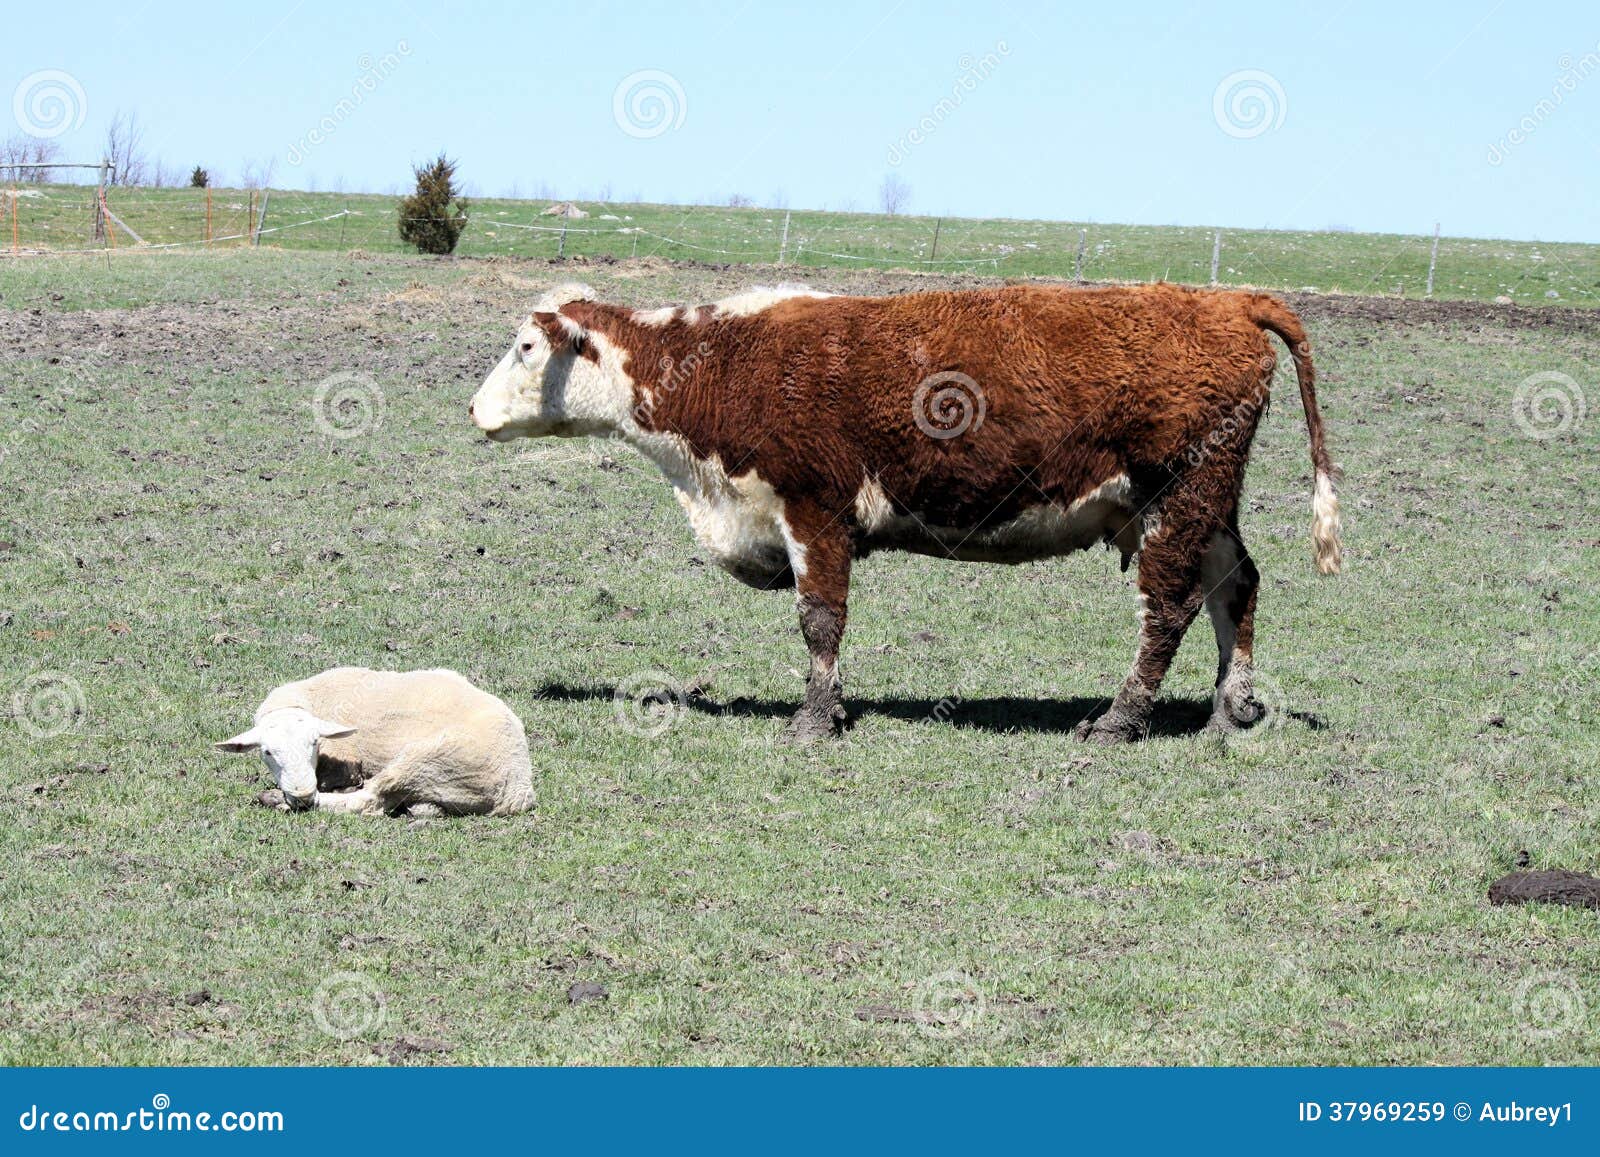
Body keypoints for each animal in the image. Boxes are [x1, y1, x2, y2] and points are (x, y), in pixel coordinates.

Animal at [469, 281, 1341, 744]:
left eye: (524, 347)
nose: (473, 409)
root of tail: (1226, 298)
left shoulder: (813, 509)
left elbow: (821, 620)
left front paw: (815, 719)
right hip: (1208, 504)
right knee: (1236, 585)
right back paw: (1231, 709)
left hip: (1178, 497)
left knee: (1168, 607)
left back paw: (1119, 720)